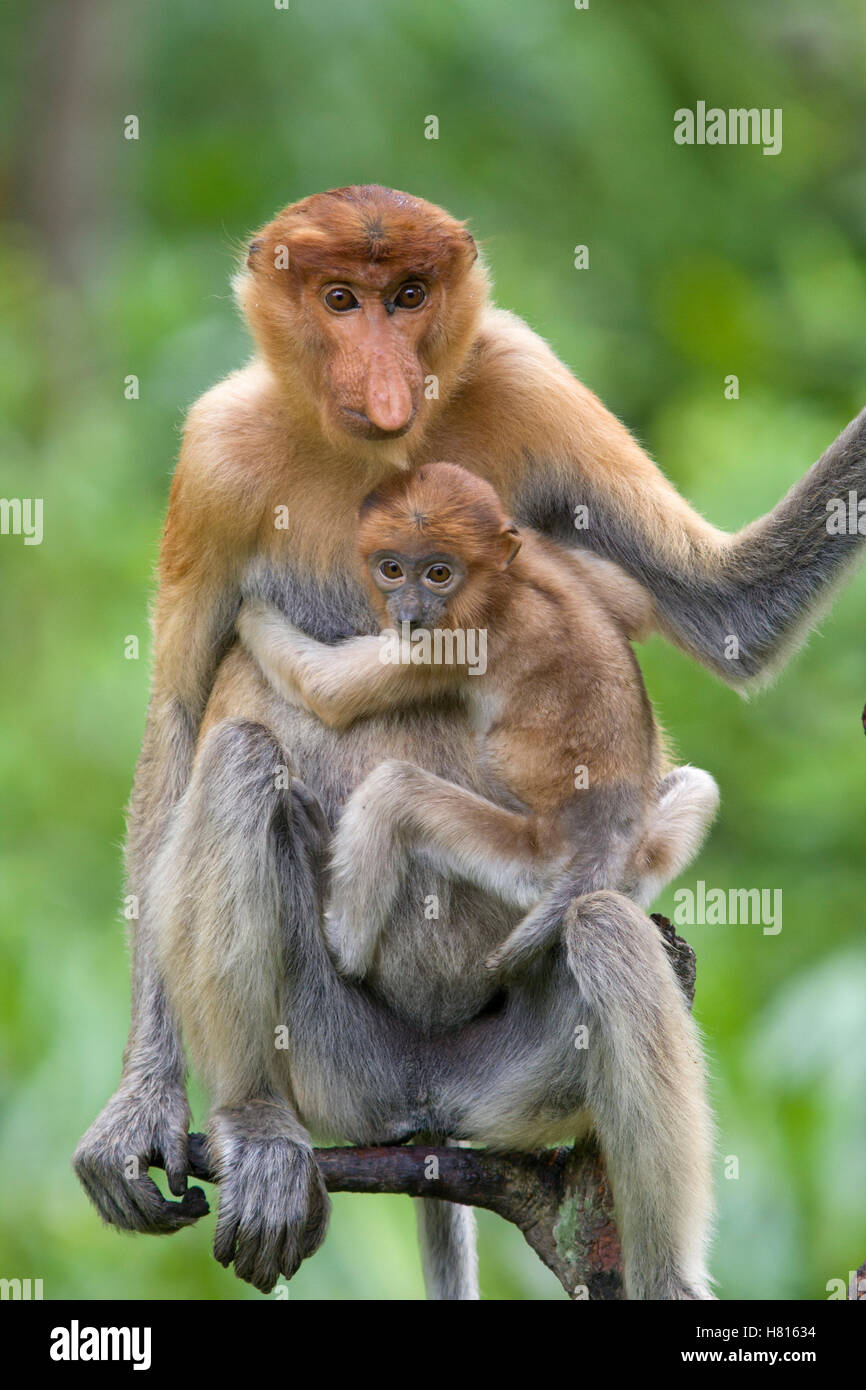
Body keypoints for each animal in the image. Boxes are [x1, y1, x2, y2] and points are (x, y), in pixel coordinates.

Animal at [236, 460, 721, 983]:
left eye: (439, 573)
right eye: (392, 568)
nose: (408, 613)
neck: (502, 583)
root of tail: (601, 851)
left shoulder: (453, 638)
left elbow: (325, 690)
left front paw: (248, 609)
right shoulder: (548, 554)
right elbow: (634, 604)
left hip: (530, 864)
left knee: (393, 792)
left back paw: (338, 933)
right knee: (701, 784)